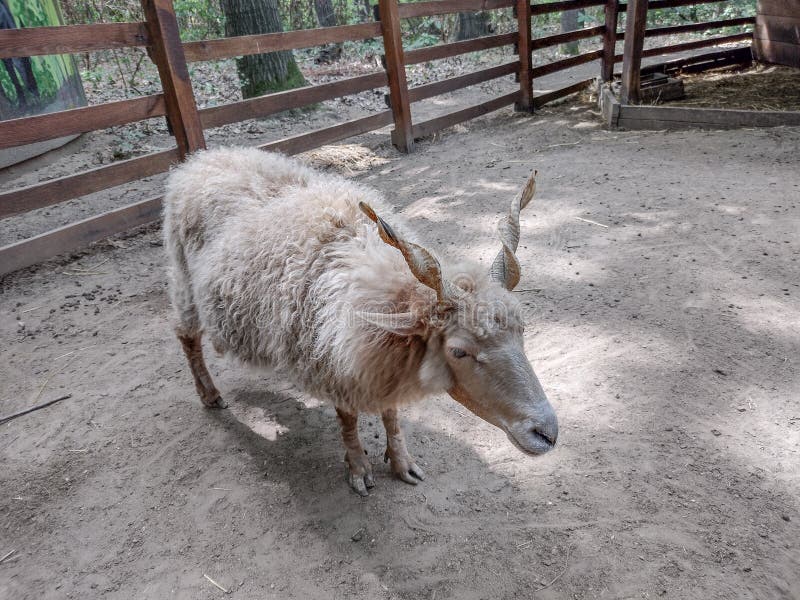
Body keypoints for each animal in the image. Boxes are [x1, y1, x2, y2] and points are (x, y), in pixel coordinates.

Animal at [163, 147, 558, 496]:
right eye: (459, 351)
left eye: (523, 330)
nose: (547, 433)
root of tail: (198, 160)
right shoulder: (331, 364)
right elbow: (349, 420)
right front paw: (358, 469)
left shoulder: (379, 365)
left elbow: (391, 414)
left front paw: (401, 462)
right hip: (183, 281)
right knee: (186, 336)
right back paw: (210, 394)